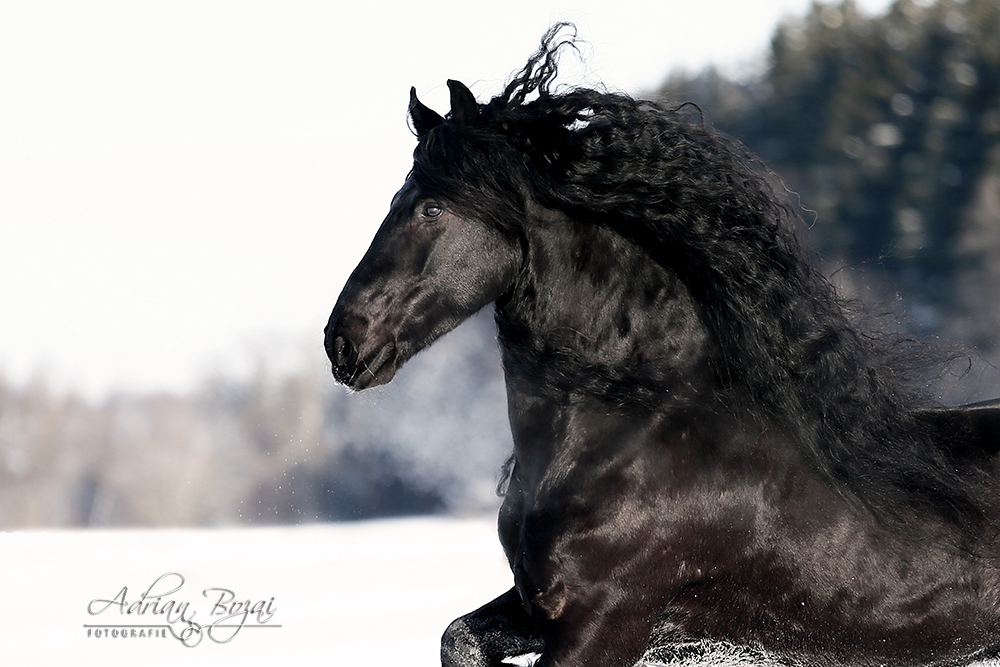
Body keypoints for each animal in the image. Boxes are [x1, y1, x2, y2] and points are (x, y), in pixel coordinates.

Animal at [324, 26, 1000, 667]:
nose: (342, 344)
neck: (630, 429)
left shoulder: (607, 620)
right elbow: (457, 640)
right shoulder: (537, 606)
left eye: (431, 209)